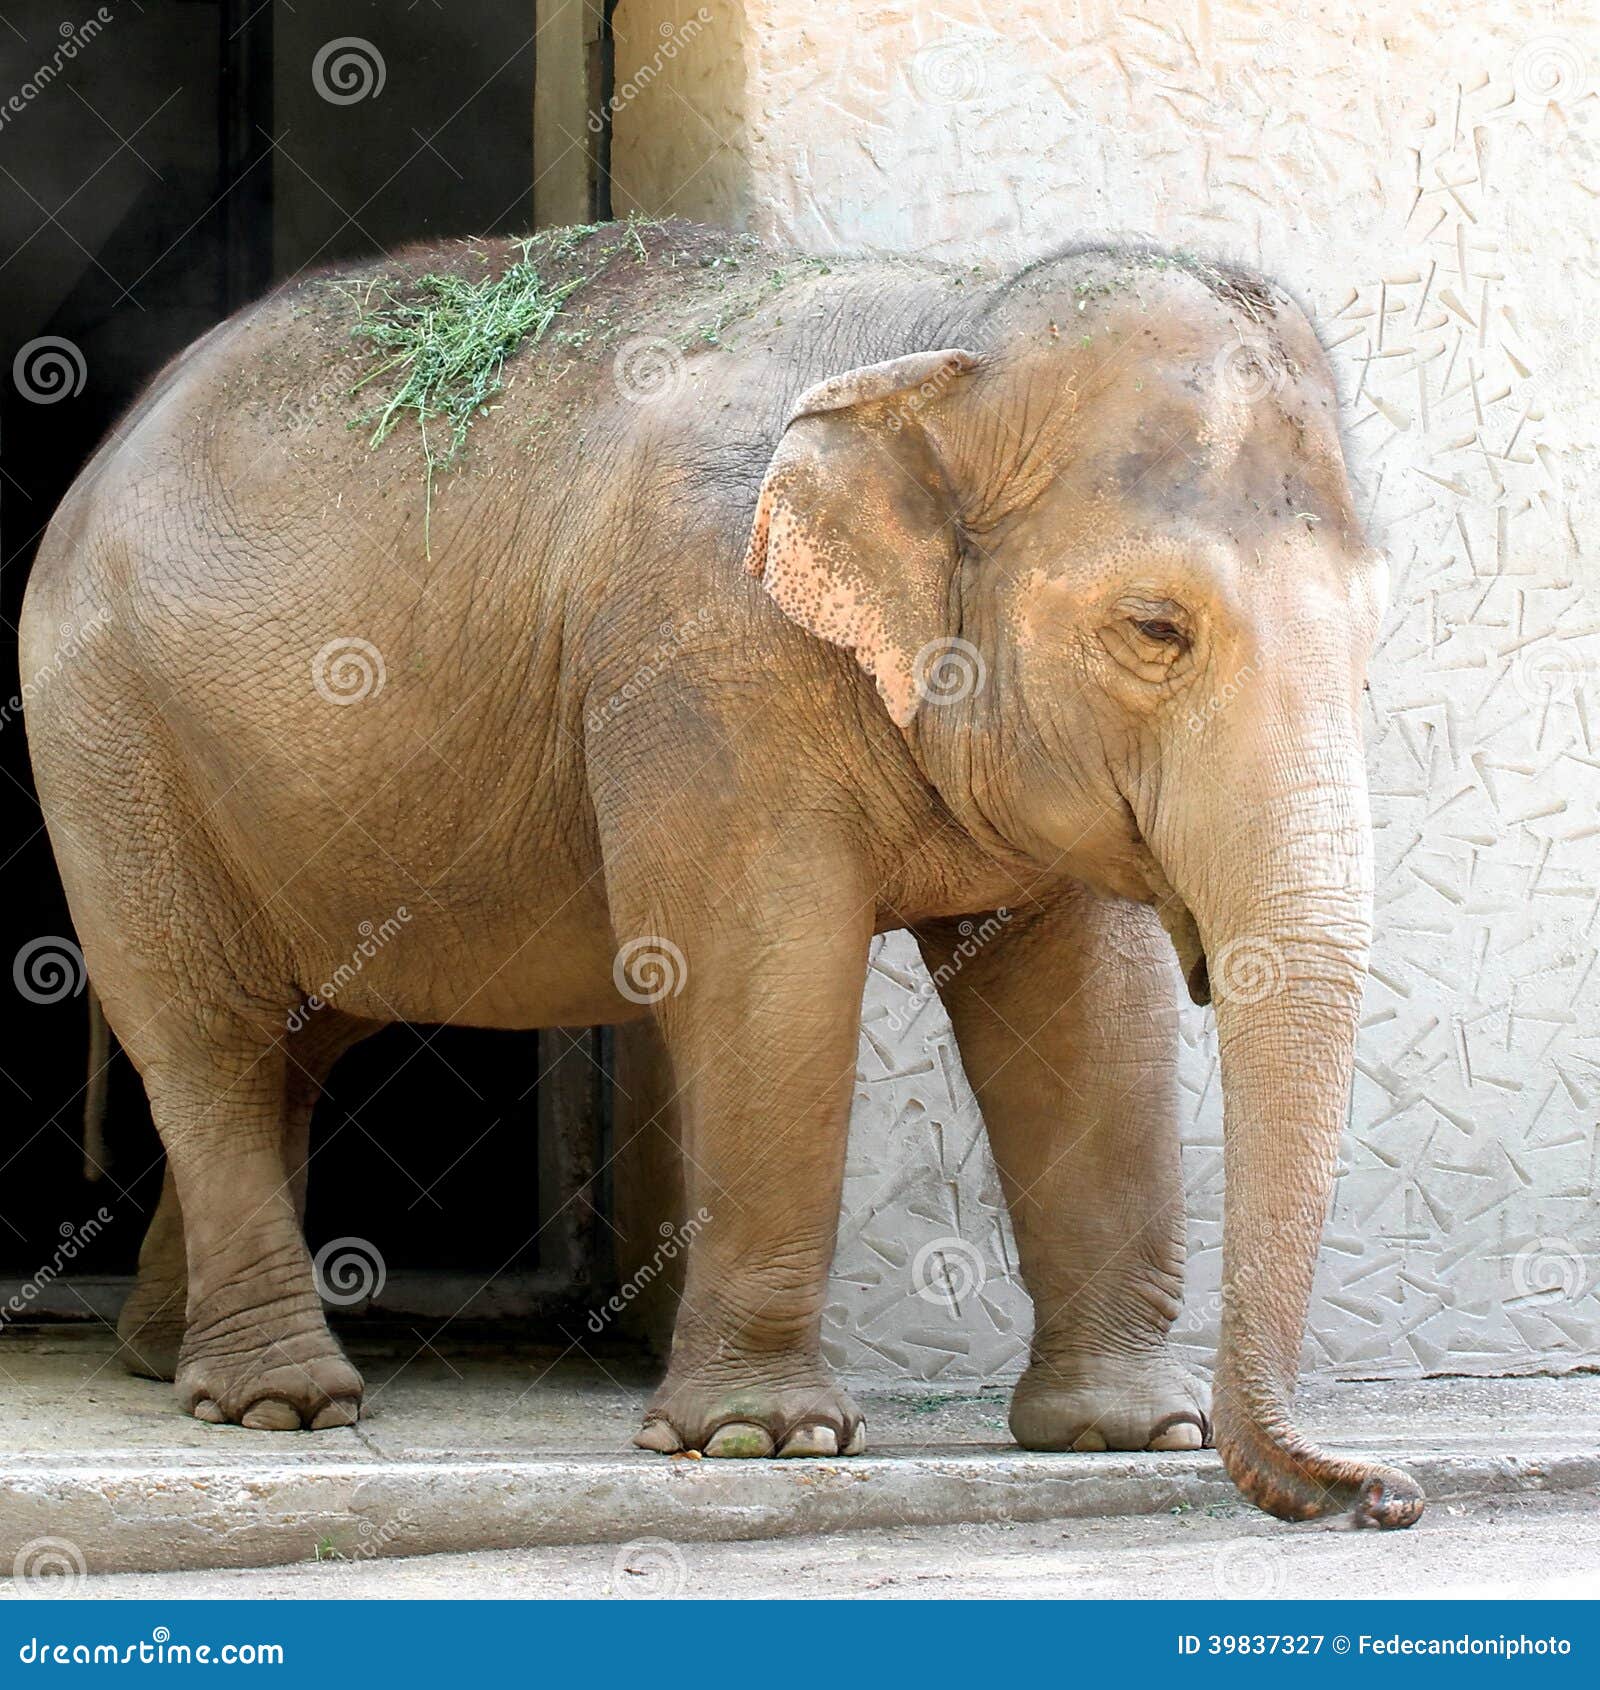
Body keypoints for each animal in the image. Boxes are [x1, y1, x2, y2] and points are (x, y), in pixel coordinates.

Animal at [20, 218, 1421, 1527]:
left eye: (1374, 638)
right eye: (1155, 629)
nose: (1382, 1493)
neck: (946, 335)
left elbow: (1084, 1008)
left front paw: (1131, 1433)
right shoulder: (704, 655)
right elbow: (765, 973)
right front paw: (764, 1439)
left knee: (295, 1044)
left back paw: (168, 1357)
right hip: (106, 739)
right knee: (203, 1033)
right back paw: (281, 1400)